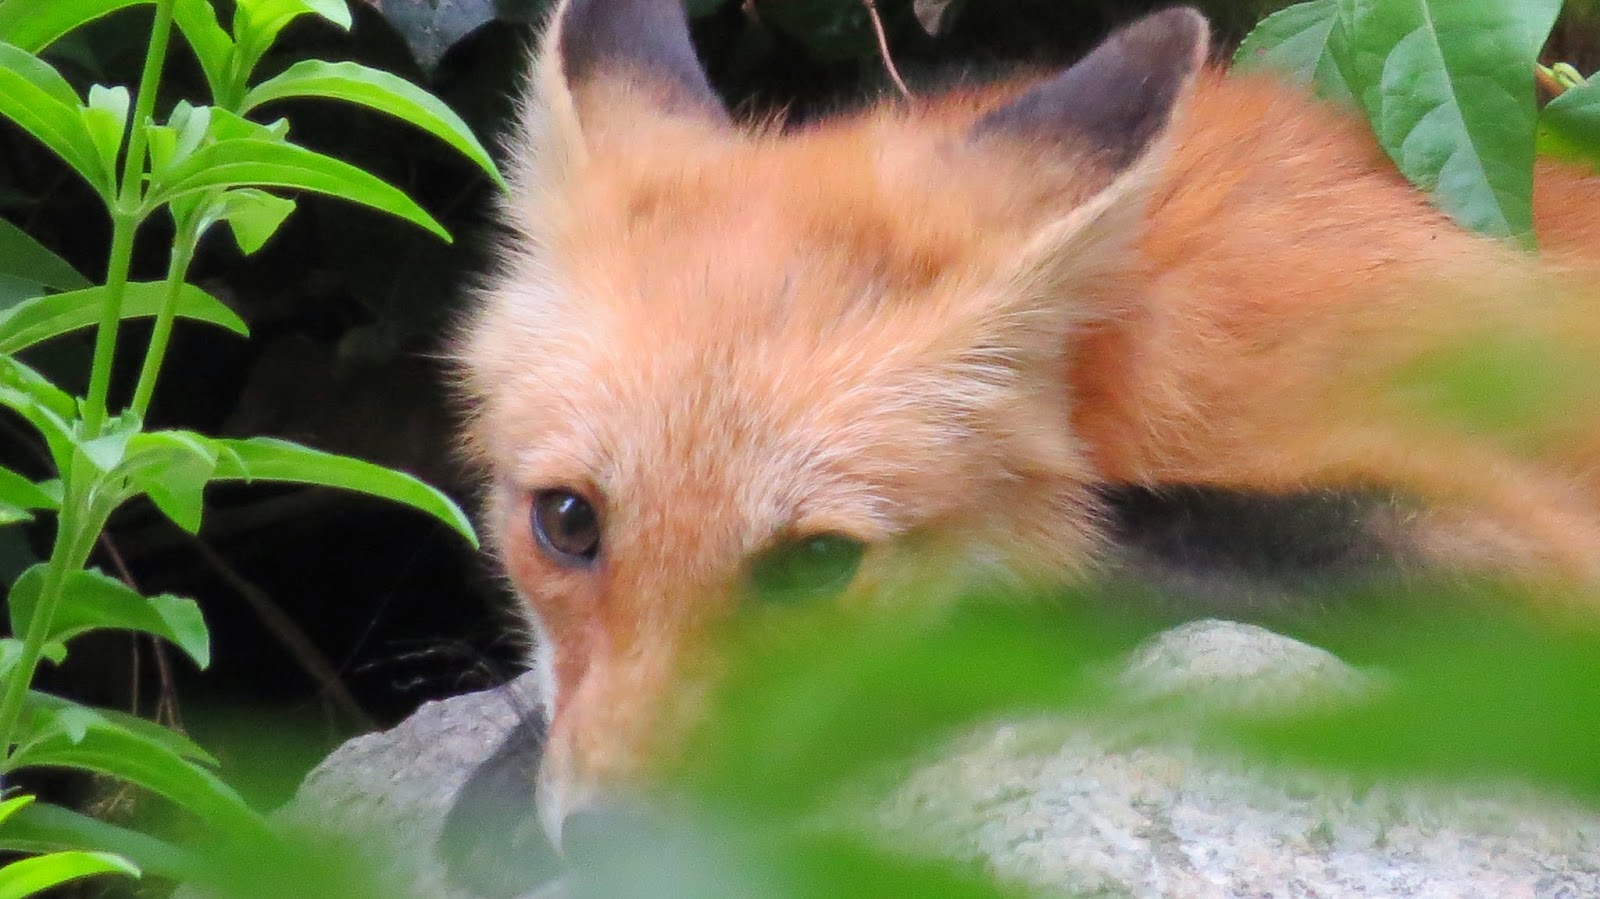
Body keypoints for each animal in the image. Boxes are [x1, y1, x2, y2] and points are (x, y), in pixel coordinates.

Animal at [454, 0, 1600, 847]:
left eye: (816, 562)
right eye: (566, 520)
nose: (614, 844)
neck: (1136, 362)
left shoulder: (1541, 576)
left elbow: (1062, 582)